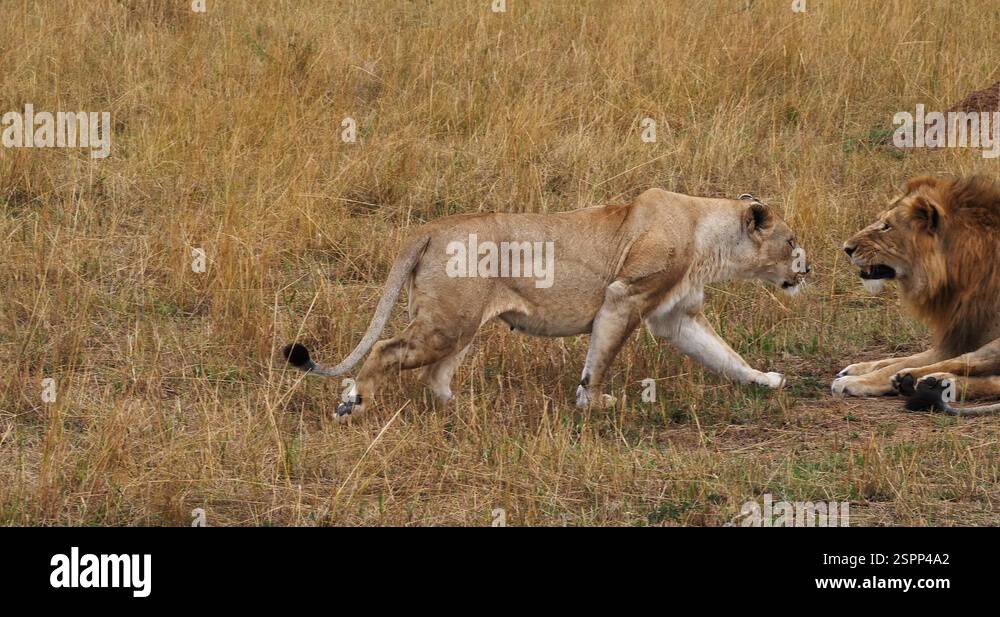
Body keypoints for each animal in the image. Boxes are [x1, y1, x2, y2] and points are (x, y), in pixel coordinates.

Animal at [283, 189, 807, 421]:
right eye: (790, 241)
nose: (808, 269)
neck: (709, 239)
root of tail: (429, 227)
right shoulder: (625, 296)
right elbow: (600, 359)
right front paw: (592, 402)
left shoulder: (675, 317)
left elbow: (725, 356)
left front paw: (766, 380)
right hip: (446, 325)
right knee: (384, 351)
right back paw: (353, 403)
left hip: (459, 324)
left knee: (434, 377)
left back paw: (467, 410)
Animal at [834, 175, 1000, 415]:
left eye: (887, 226)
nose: (846, 248)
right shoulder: (958, 338)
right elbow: (901, 358)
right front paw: (857, 369)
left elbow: (899, 364)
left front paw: (855, 382)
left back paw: (917, 380)